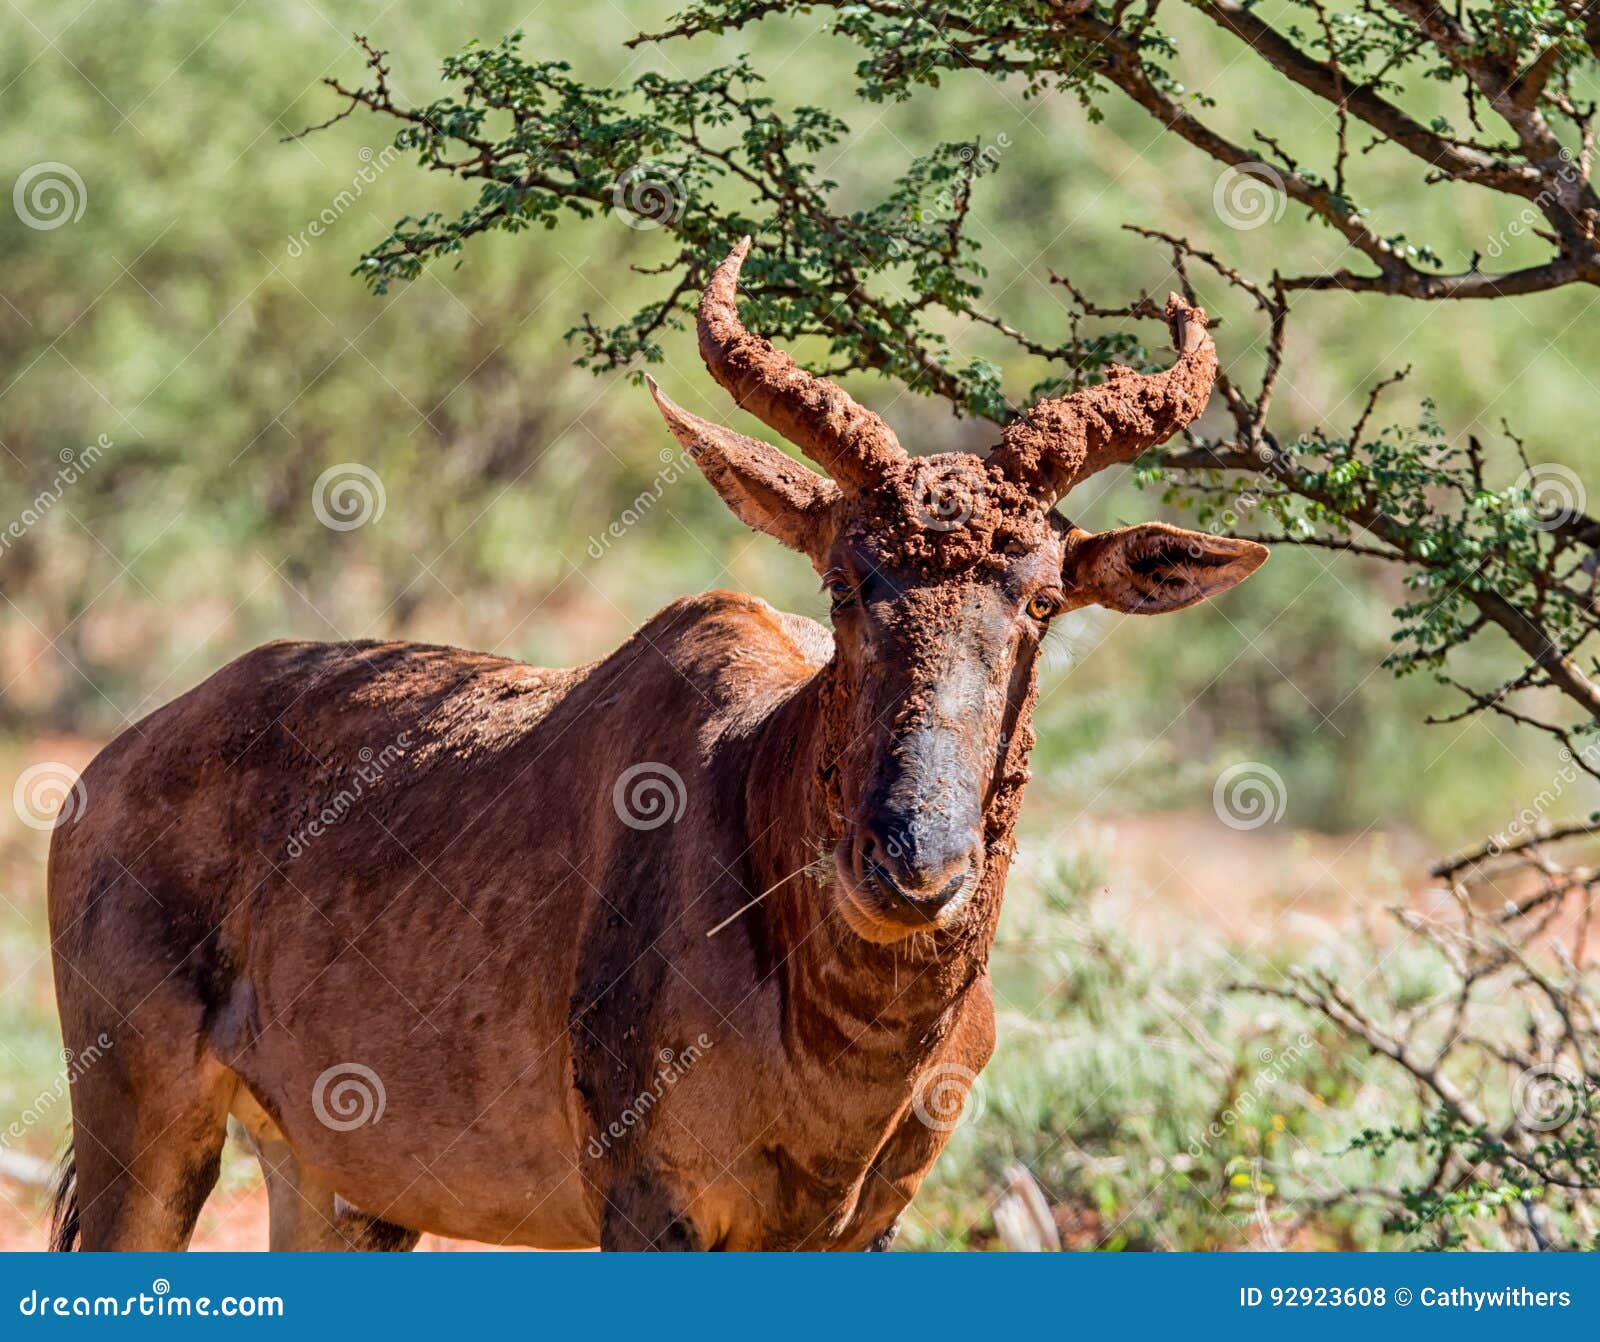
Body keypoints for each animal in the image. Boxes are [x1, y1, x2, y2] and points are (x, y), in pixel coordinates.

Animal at [46, 239, 1264, 1252]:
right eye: (844, 578)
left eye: (1044, 600)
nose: (913, 866)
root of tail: (111, 764)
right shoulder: (650, 1208)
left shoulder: (862, 1229)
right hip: (144, 1134)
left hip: (339, 1185)